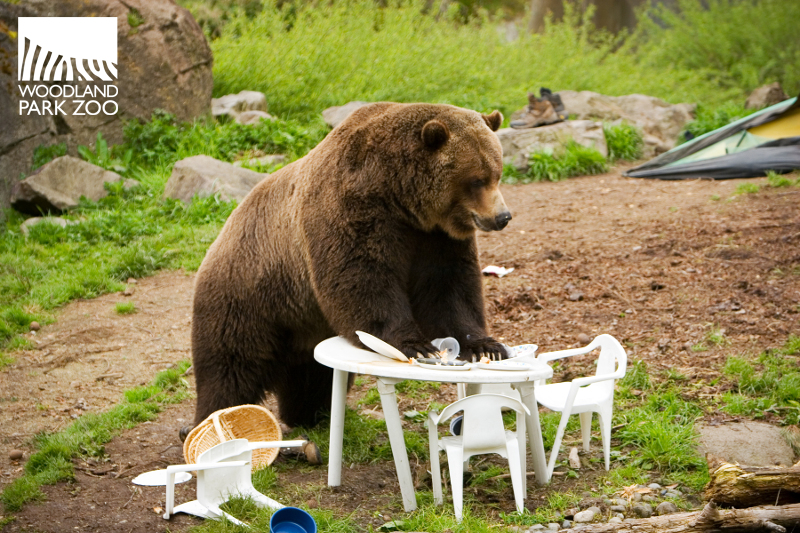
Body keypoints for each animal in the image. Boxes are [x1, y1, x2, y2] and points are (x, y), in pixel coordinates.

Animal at [190, 102, 513, 430]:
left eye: (497, 173)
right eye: (476, 179)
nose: (502, 217)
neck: (400, 196)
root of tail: (221, 234)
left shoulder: (435, 237)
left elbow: (449, 291)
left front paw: (486, 345)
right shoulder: (353, 206)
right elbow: (363, 279)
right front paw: (415, 344)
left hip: (303, 322)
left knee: (311, 374)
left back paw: (311, 414)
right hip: (250, 290)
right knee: (230, 362)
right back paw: (213, 417)